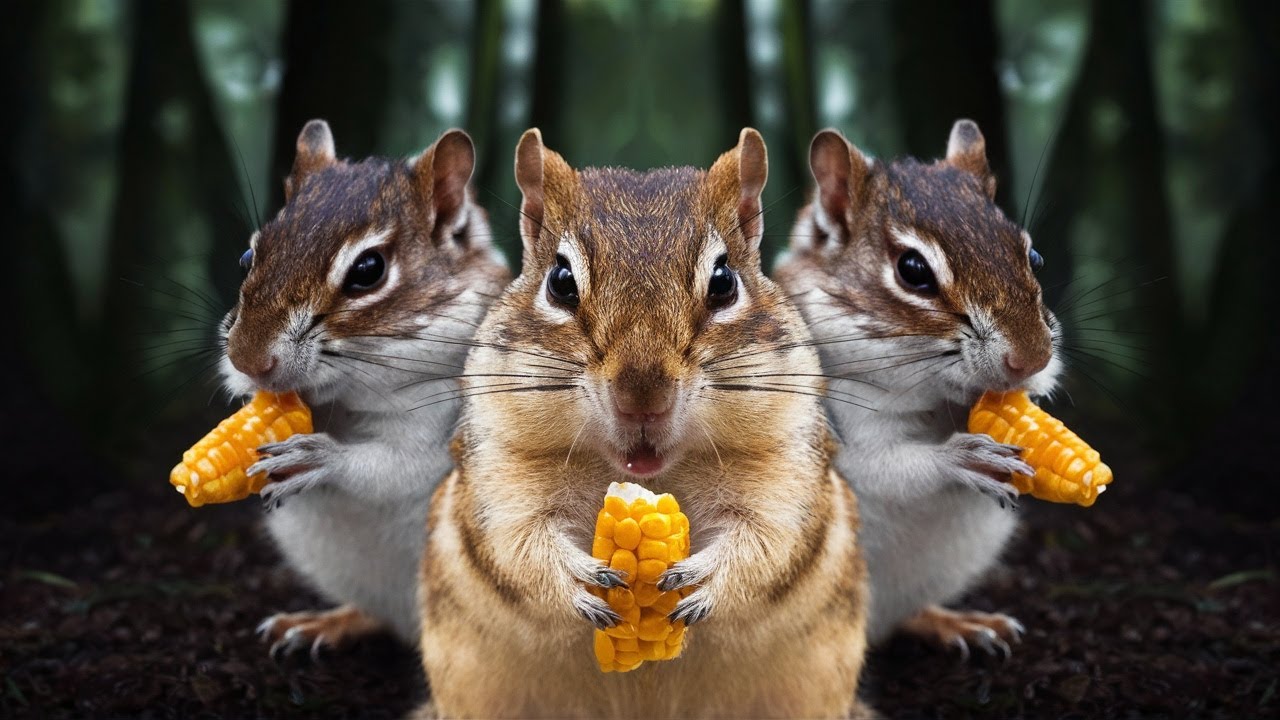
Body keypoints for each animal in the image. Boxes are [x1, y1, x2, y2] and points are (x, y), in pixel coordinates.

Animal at [218, 119, 509, 658]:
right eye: (248, 254)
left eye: (368, 270)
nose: (248, 361)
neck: (346, 403)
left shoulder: (447, 424)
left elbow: (396, 468)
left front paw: (320, 457)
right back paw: (326, 623)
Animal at [416, 129, 873, 719]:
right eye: (560, 282)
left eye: (724, 282)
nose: (642, 398)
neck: (651, 476)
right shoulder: (500, 466)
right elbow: (516, 544)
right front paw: (576, 577)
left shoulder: (785, 465)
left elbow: (769, 542)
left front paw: (706, 579)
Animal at [772, 120, 1062, 658]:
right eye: (913, 271)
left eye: (1033, 255)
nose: (1031, 359)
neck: (938, 403)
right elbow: (884, 468)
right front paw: (961, 457)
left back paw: (954, 623)